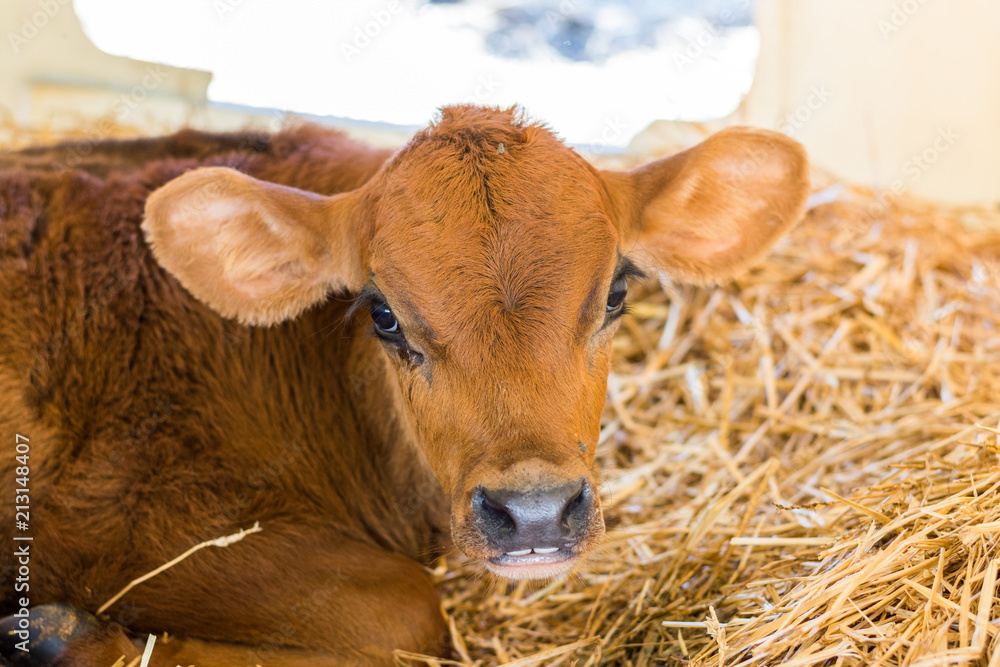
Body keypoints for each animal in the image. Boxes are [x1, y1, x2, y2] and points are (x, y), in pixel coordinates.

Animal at [0, 105, 808, 665]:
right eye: (384, 316)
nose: (536, 513)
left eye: (615, 295)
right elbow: (410, 612)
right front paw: (62, 637)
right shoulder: (135, 528)